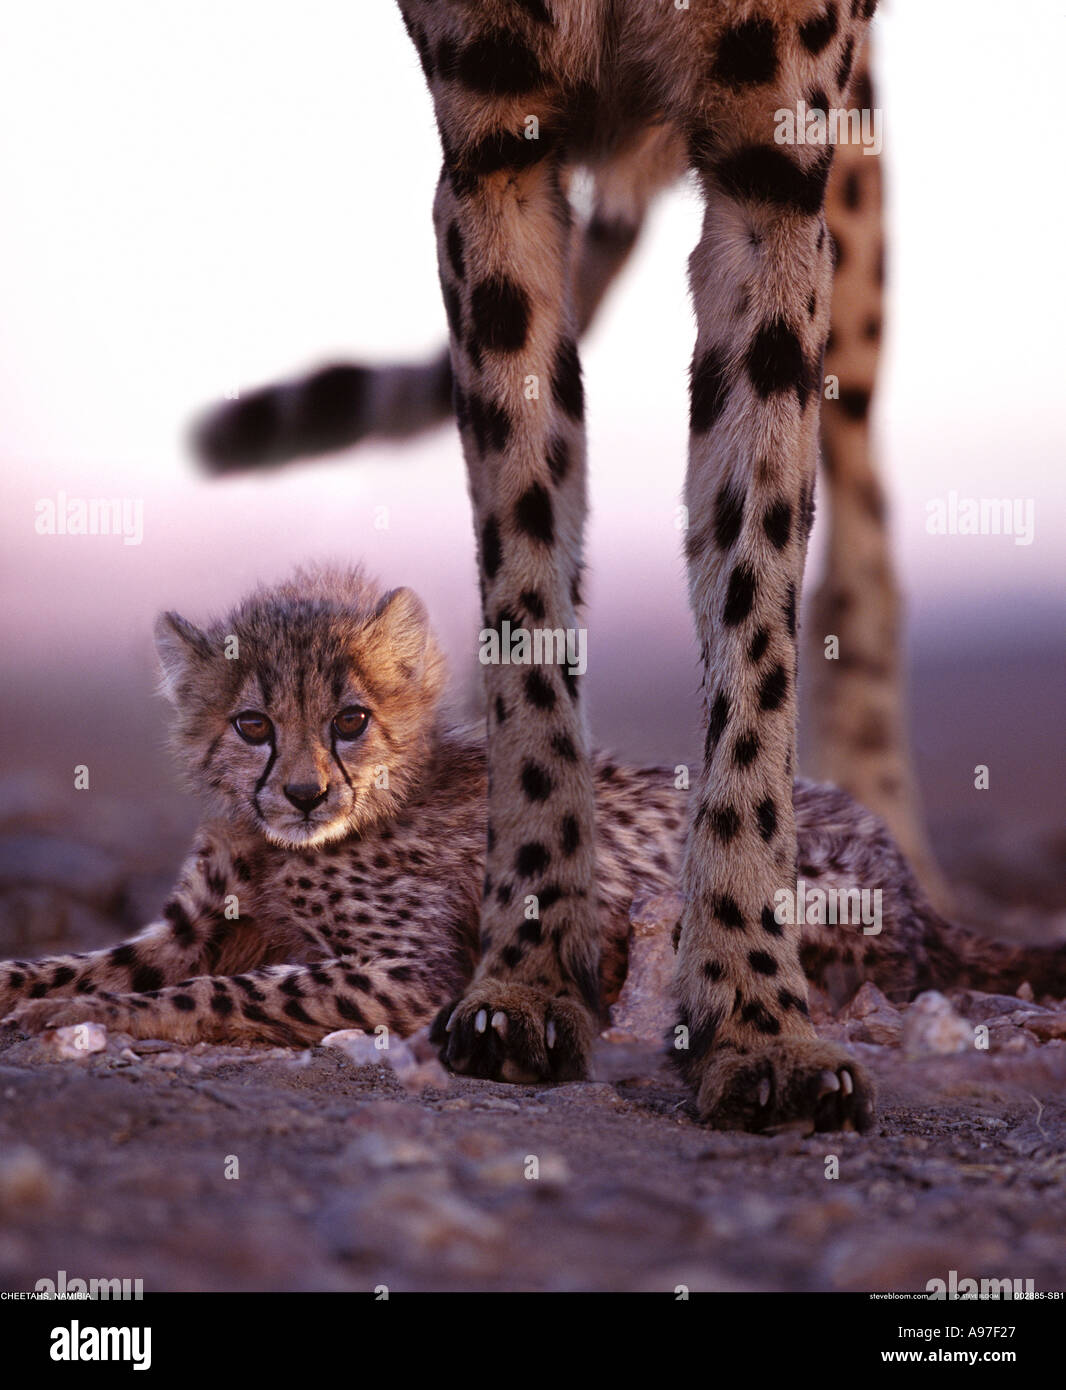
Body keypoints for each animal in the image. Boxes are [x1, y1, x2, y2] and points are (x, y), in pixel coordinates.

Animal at [3, 569, 1064, 1133]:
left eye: (350, 720)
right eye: (253, 725)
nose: (303, 793)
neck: (279, 844)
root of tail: (914, 887)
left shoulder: (410, 973)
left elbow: (220, 991)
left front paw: (86, 1015)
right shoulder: (187, 926)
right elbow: (76, 962)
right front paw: (40, 991)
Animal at [186, 0, 933, 1129]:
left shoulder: (773, 171)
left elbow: (755, 598)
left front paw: (757, 1008)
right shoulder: (496, 160)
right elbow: (524, 582)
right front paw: (527, 968)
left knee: (861, 539)